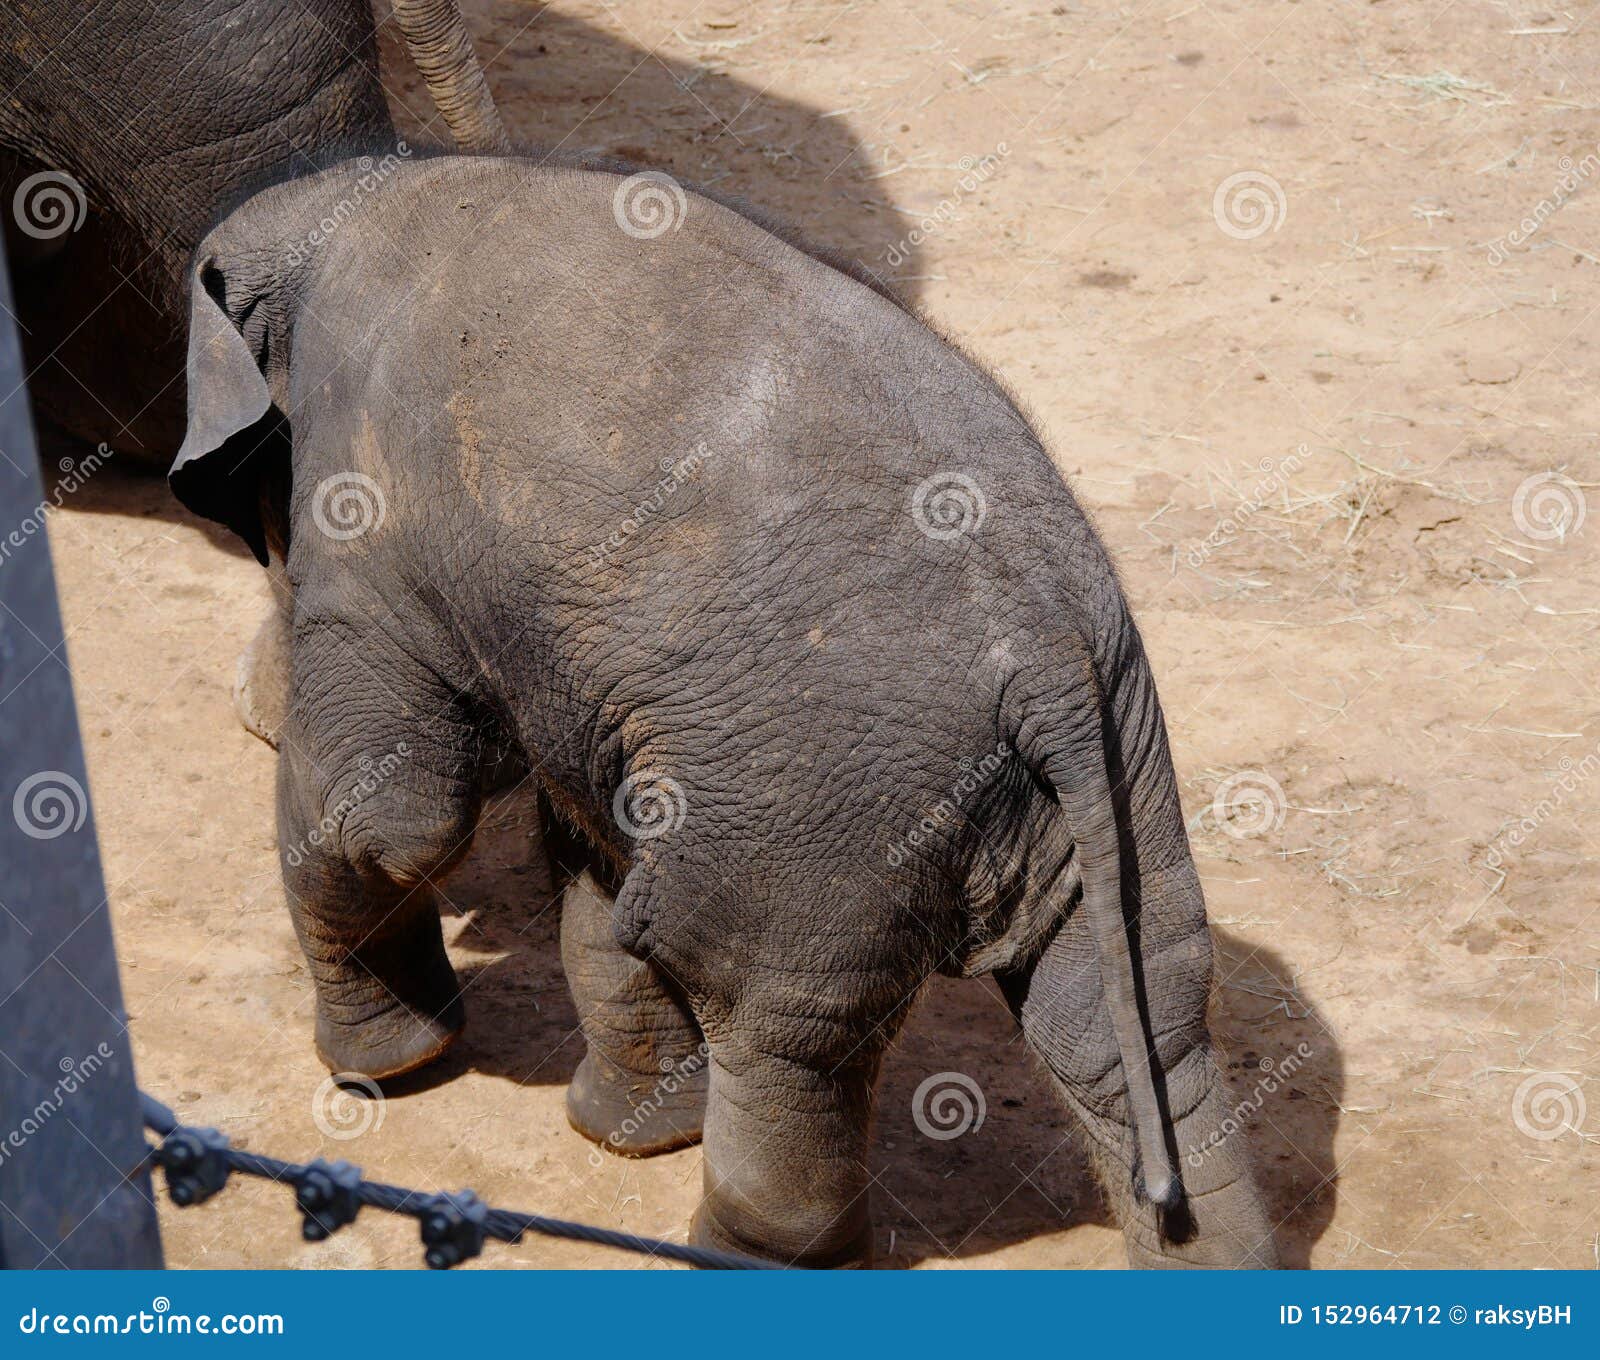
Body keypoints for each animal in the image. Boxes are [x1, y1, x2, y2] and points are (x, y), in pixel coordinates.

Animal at [166, 148, 1281, 1270]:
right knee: (1131, 1012)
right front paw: (627, 1132)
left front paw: (384, 1074)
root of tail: (1045, 654)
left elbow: (385, 816)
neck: (334, 203)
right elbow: (600, 866)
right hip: (1118, 762)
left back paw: (727, 1249)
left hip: (820, 803)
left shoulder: (375, 514)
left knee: (779, 1019)